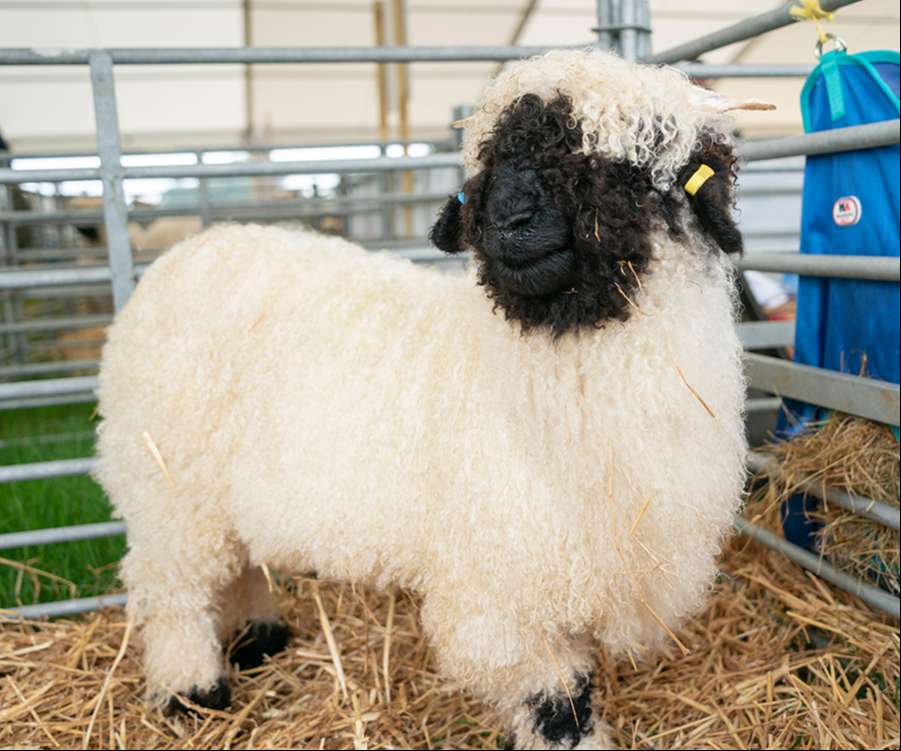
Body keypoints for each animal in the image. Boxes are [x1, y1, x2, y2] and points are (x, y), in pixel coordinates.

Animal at [94, 48, 759, 750]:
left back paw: (258, 638)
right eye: (486, 169)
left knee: (237, 563)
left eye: (624, 169)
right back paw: (191, 689)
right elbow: (559, 703)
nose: (506, 222)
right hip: (166, 483)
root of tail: (184, 254)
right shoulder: (501, 590)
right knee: (173, 588)